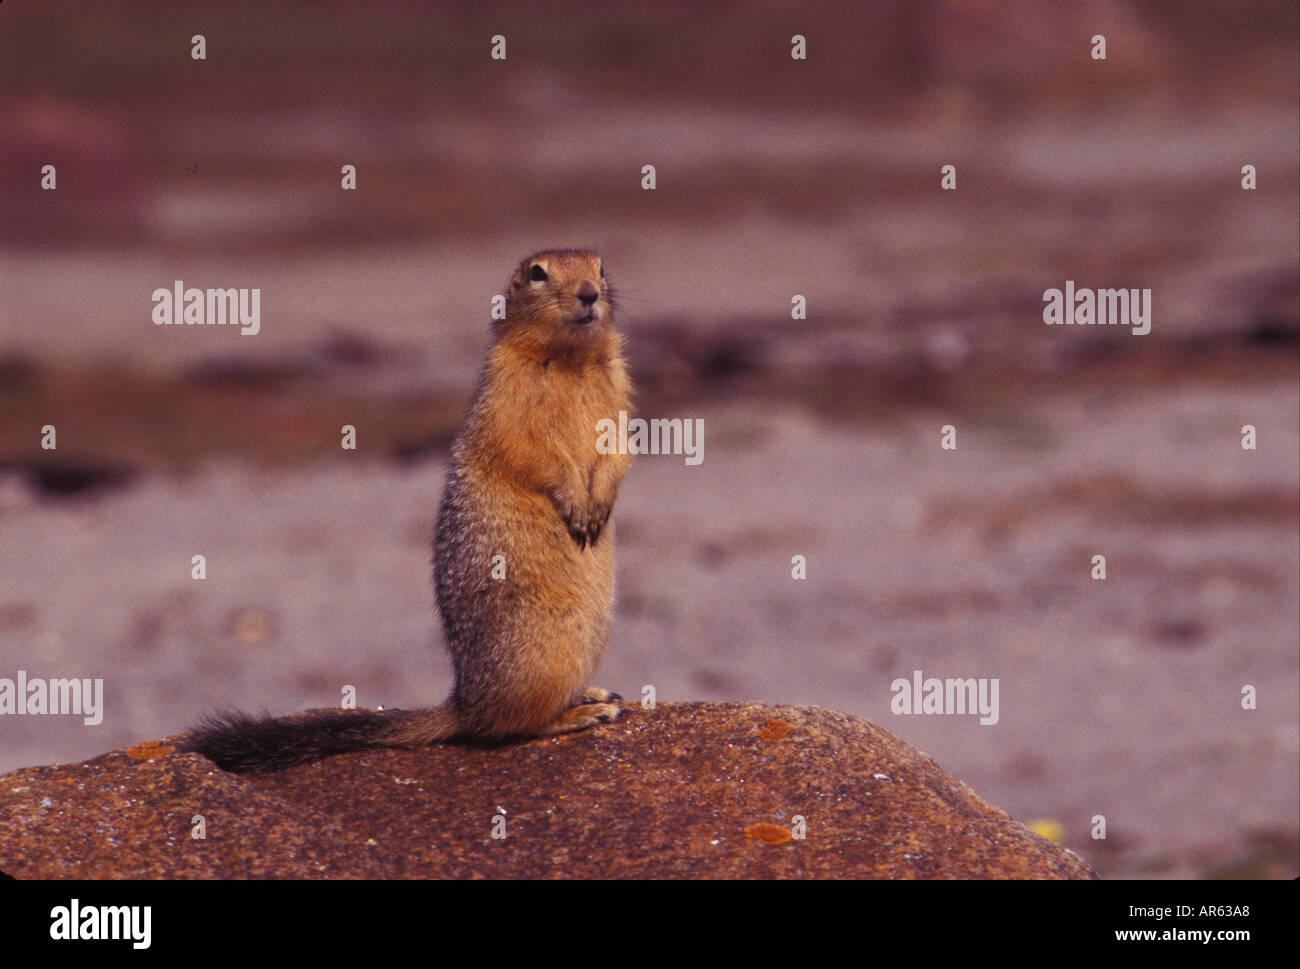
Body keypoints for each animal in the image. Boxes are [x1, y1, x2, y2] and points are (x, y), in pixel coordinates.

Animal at [181, 249, 632, 772]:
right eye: (538, 273)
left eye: (601, 268)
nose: (589, 294)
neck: (570, 358)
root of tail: (463, 702)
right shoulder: (508, 399)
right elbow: (533, 451)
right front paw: (577, 503)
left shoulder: (618, 391)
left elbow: (619, 447)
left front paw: (599, 502)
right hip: (545, 653)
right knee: (503, 729)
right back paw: (582, 713)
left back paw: (593, 694)